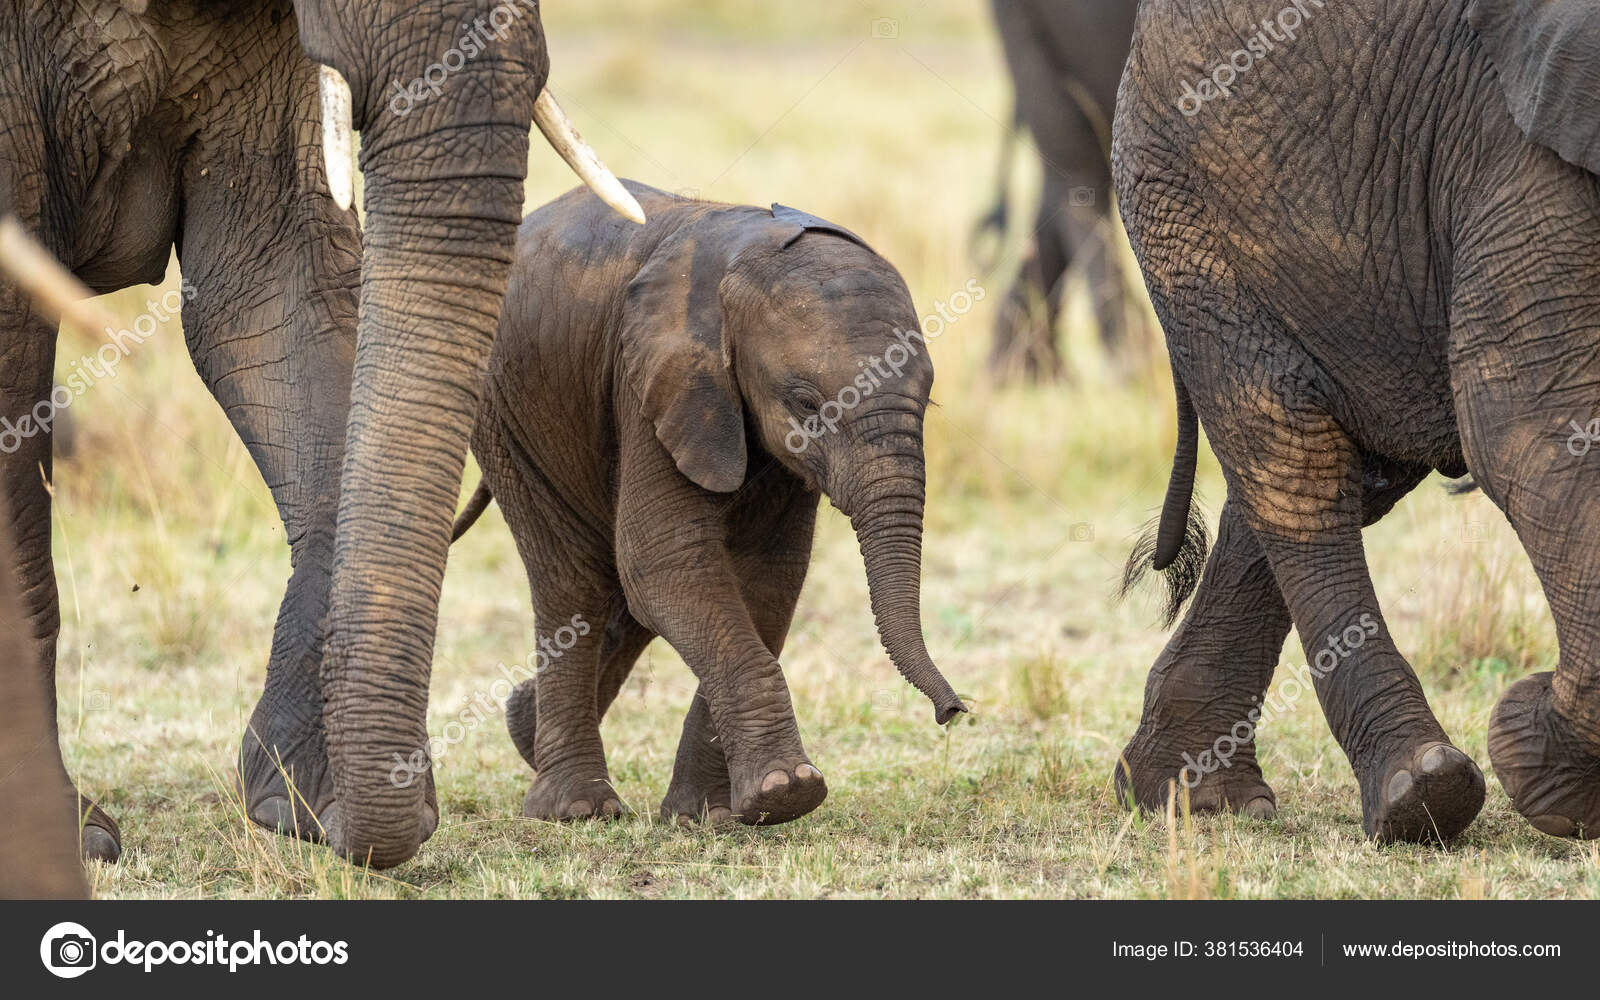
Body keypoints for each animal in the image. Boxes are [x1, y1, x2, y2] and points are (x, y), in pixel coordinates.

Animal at [449, 182, 968, 825]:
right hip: (504, 409)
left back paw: (523, 731)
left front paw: (717, 814)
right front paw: (788, 792)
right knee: (573, 579)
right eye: (806, 405)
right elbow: (667, 564)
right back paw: (578, 808)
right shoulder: (653, 382)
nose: (953, 713)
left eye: (928, 401)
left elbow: (766, 578)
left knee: (615, 587)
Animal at [1111, 0, 1600, 843]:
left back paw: (1187, 799)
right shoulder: (1527, 144)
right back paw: (1420, 795)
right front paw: (1539, 761)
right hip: (1186, 194)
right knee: (1296, 460)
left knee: (1335, 468)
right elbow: (1531, 429)